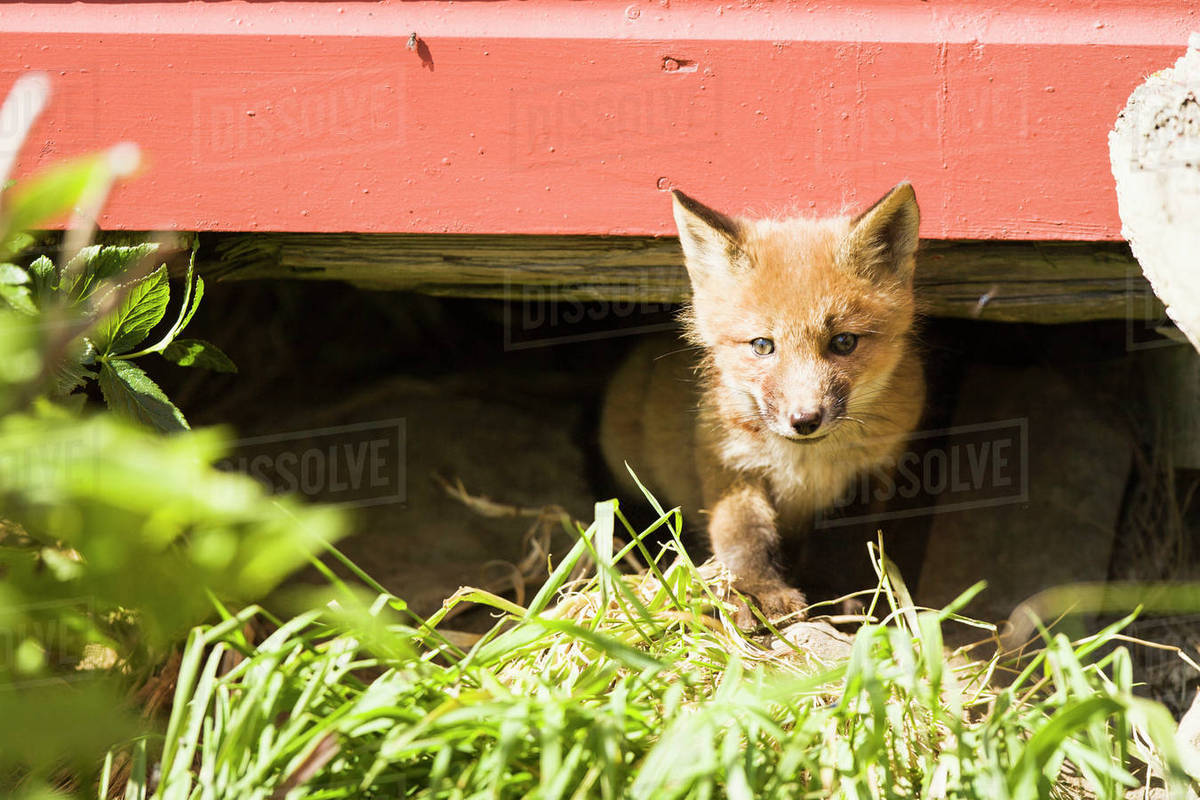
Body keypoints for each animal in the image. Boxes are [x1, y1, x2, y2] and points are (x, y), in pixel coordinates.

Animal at [599, 182, 926, 626]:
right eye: (762, 345)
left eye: (843, 342)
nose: (804, 419)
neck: (806, 464)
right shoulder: (731, 464)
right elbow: (744, 540)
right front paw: (758, 593)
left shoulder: (867, 472)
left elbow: (839, 547)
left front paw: (833, 598)